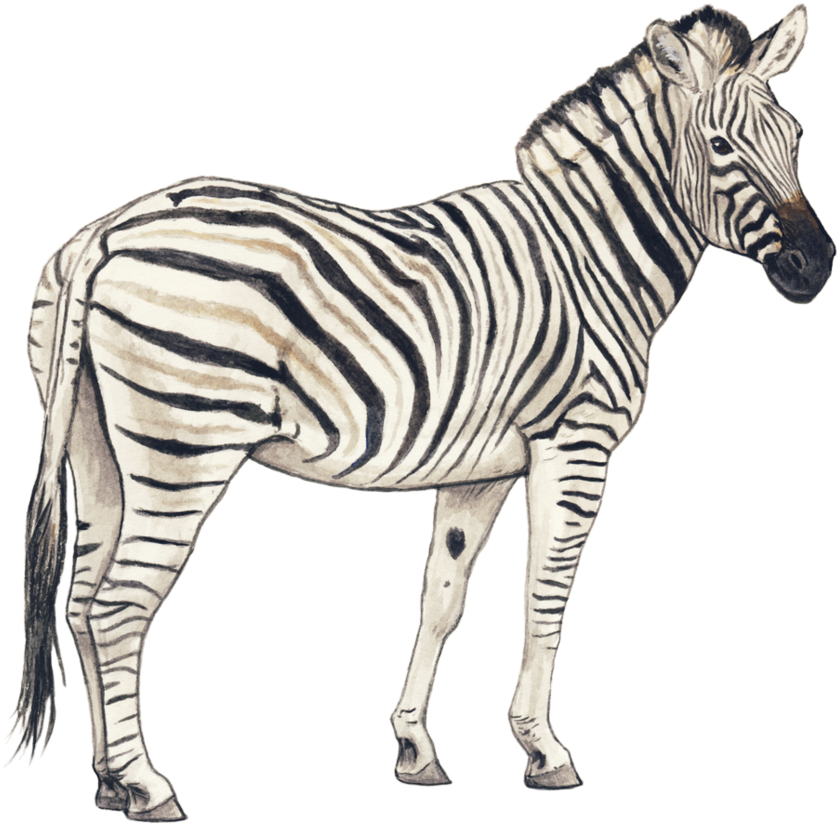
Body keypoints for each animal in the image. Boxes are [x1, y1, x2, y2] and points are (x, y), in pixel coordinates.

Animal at [7, 2, 834, 817]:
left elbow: (441, 596)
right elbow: (547, 595)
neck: (590, 256)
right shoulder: (574, 444)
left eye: (795, 139)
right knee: (117, 605)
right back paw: (147, 786)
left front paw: (415, 748)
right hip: (183, 444)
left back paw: (108, 782)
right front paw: (547, 751)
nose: (817, 266)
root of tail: (102, 234)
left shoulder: (481, 469)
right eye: (720, 145)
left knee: (80, 600)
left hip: (98, 449)